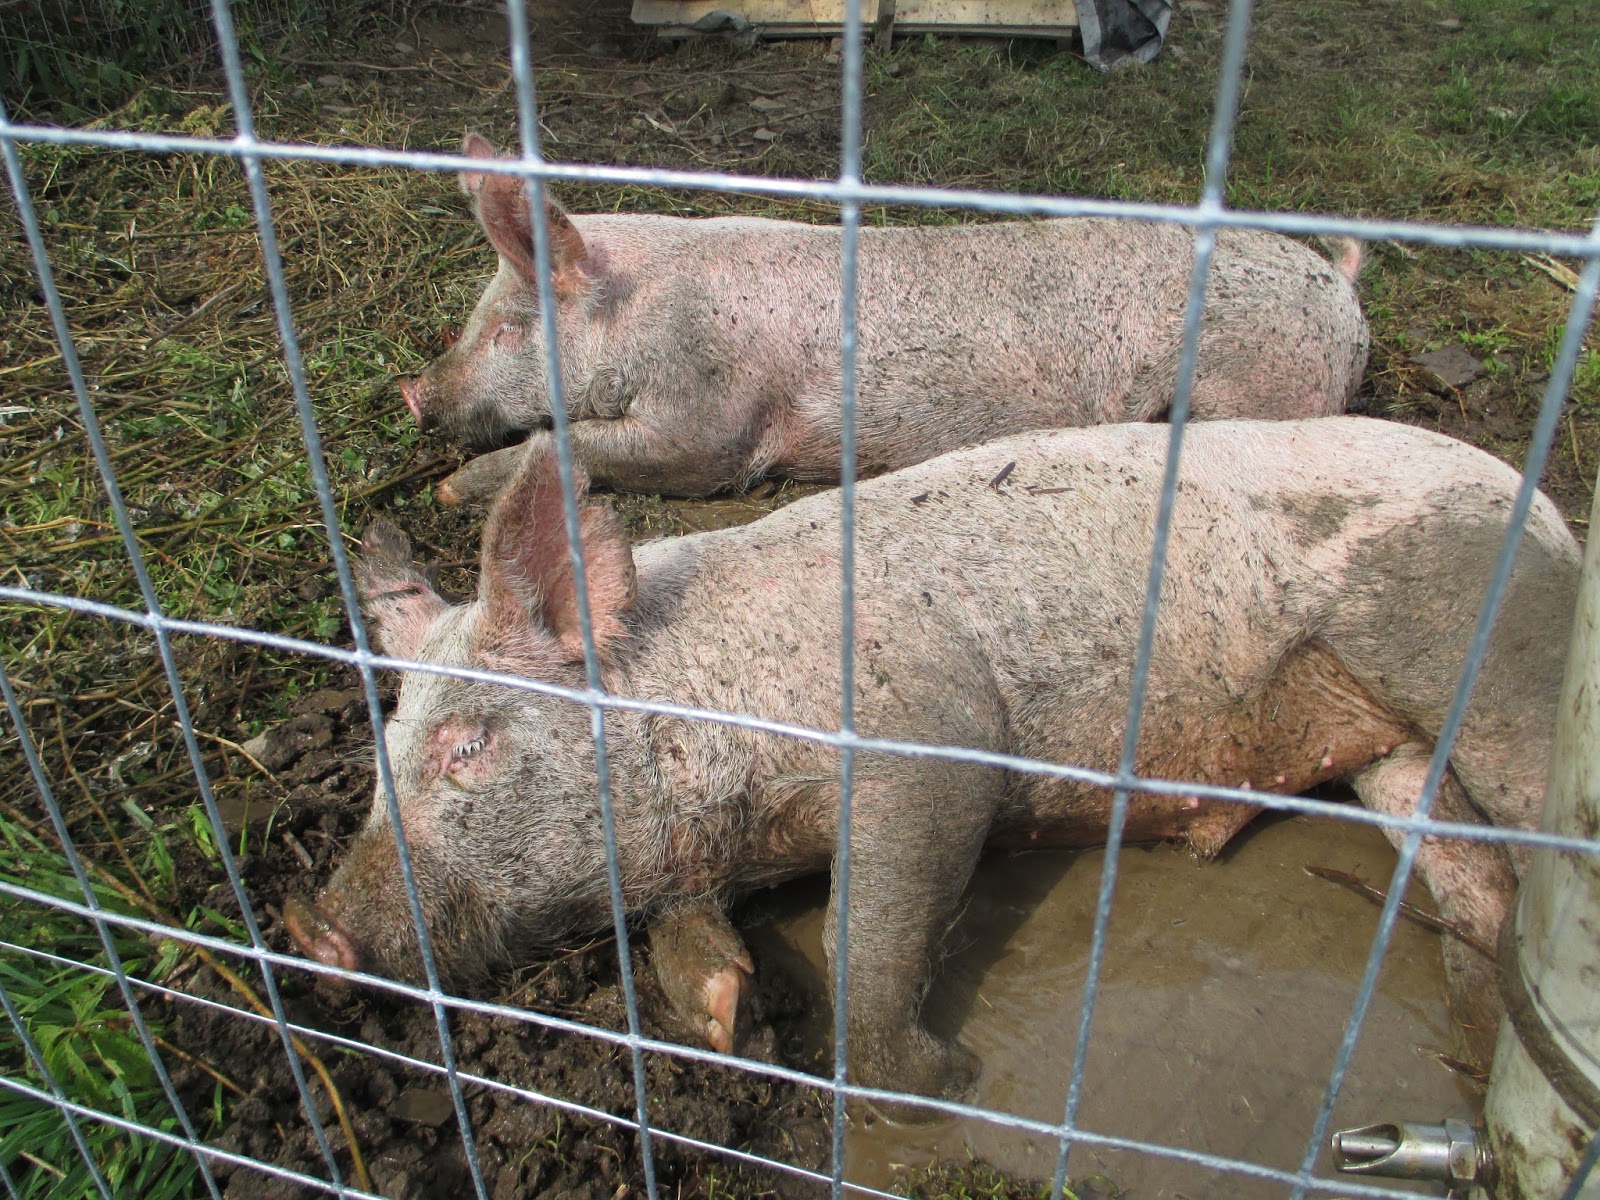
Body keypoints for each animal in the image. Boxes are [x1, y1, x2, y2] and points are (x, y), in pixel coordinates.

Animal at [288, 418, 1577, 1102]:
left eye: (467, 745)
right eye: (382, 751)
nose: (313, 930)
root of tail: (1553, 513)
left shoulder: (935, 733)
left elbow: (870, 924)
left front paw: (942, 1081)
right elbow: (684, 943)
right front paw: (727, 1018)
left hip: (1480, 652)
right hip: (1398, 753)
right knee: (1481, 883)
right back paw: (1474, 1044)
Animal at [398, 134, 1370, 503]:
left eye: (507, 328)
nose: (412, 392)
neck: (648, 310)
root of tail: (1340, 285)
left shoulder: (711, 426)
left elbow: (575, 445)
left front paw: (453, 491)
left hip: (1263, 380)